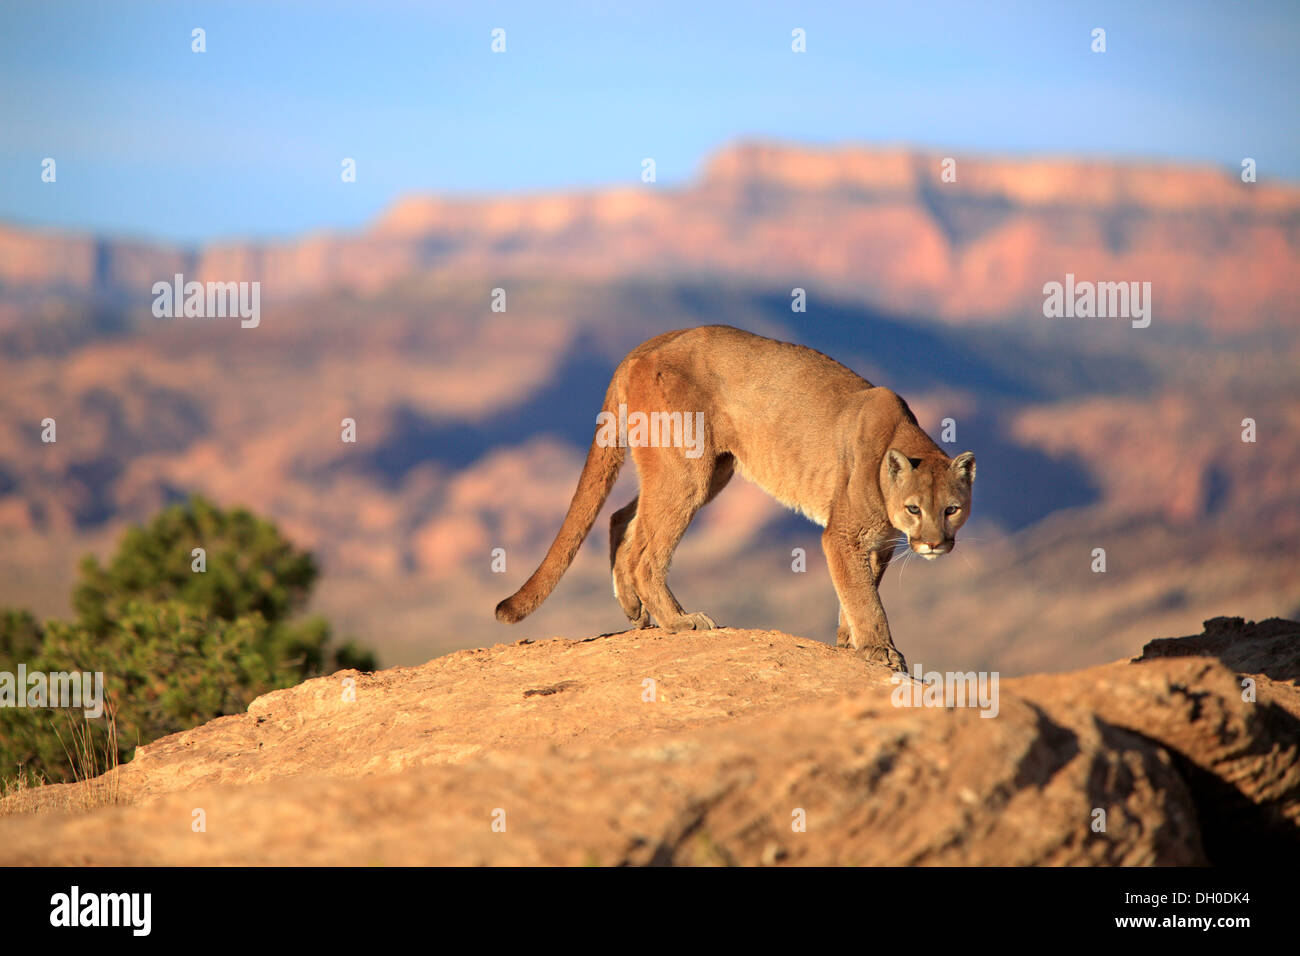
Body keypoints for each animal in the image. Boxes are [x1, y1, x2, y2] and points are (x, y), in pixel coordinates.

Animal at [495, 325, 975, 670]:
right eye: (914, 508)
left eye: (952, 509)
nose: (935, 543)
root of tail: (643, 346)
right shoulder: (845, 536)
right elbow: (865, 598)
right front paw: (881, 650)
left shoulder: (878, 545)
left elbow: (860, 590)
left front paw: (847, 642)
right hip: (688, 470)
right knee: (646, 553)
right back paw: (680, 620)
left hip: (706, 471)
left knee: (622, 518)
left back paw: (634, 608)